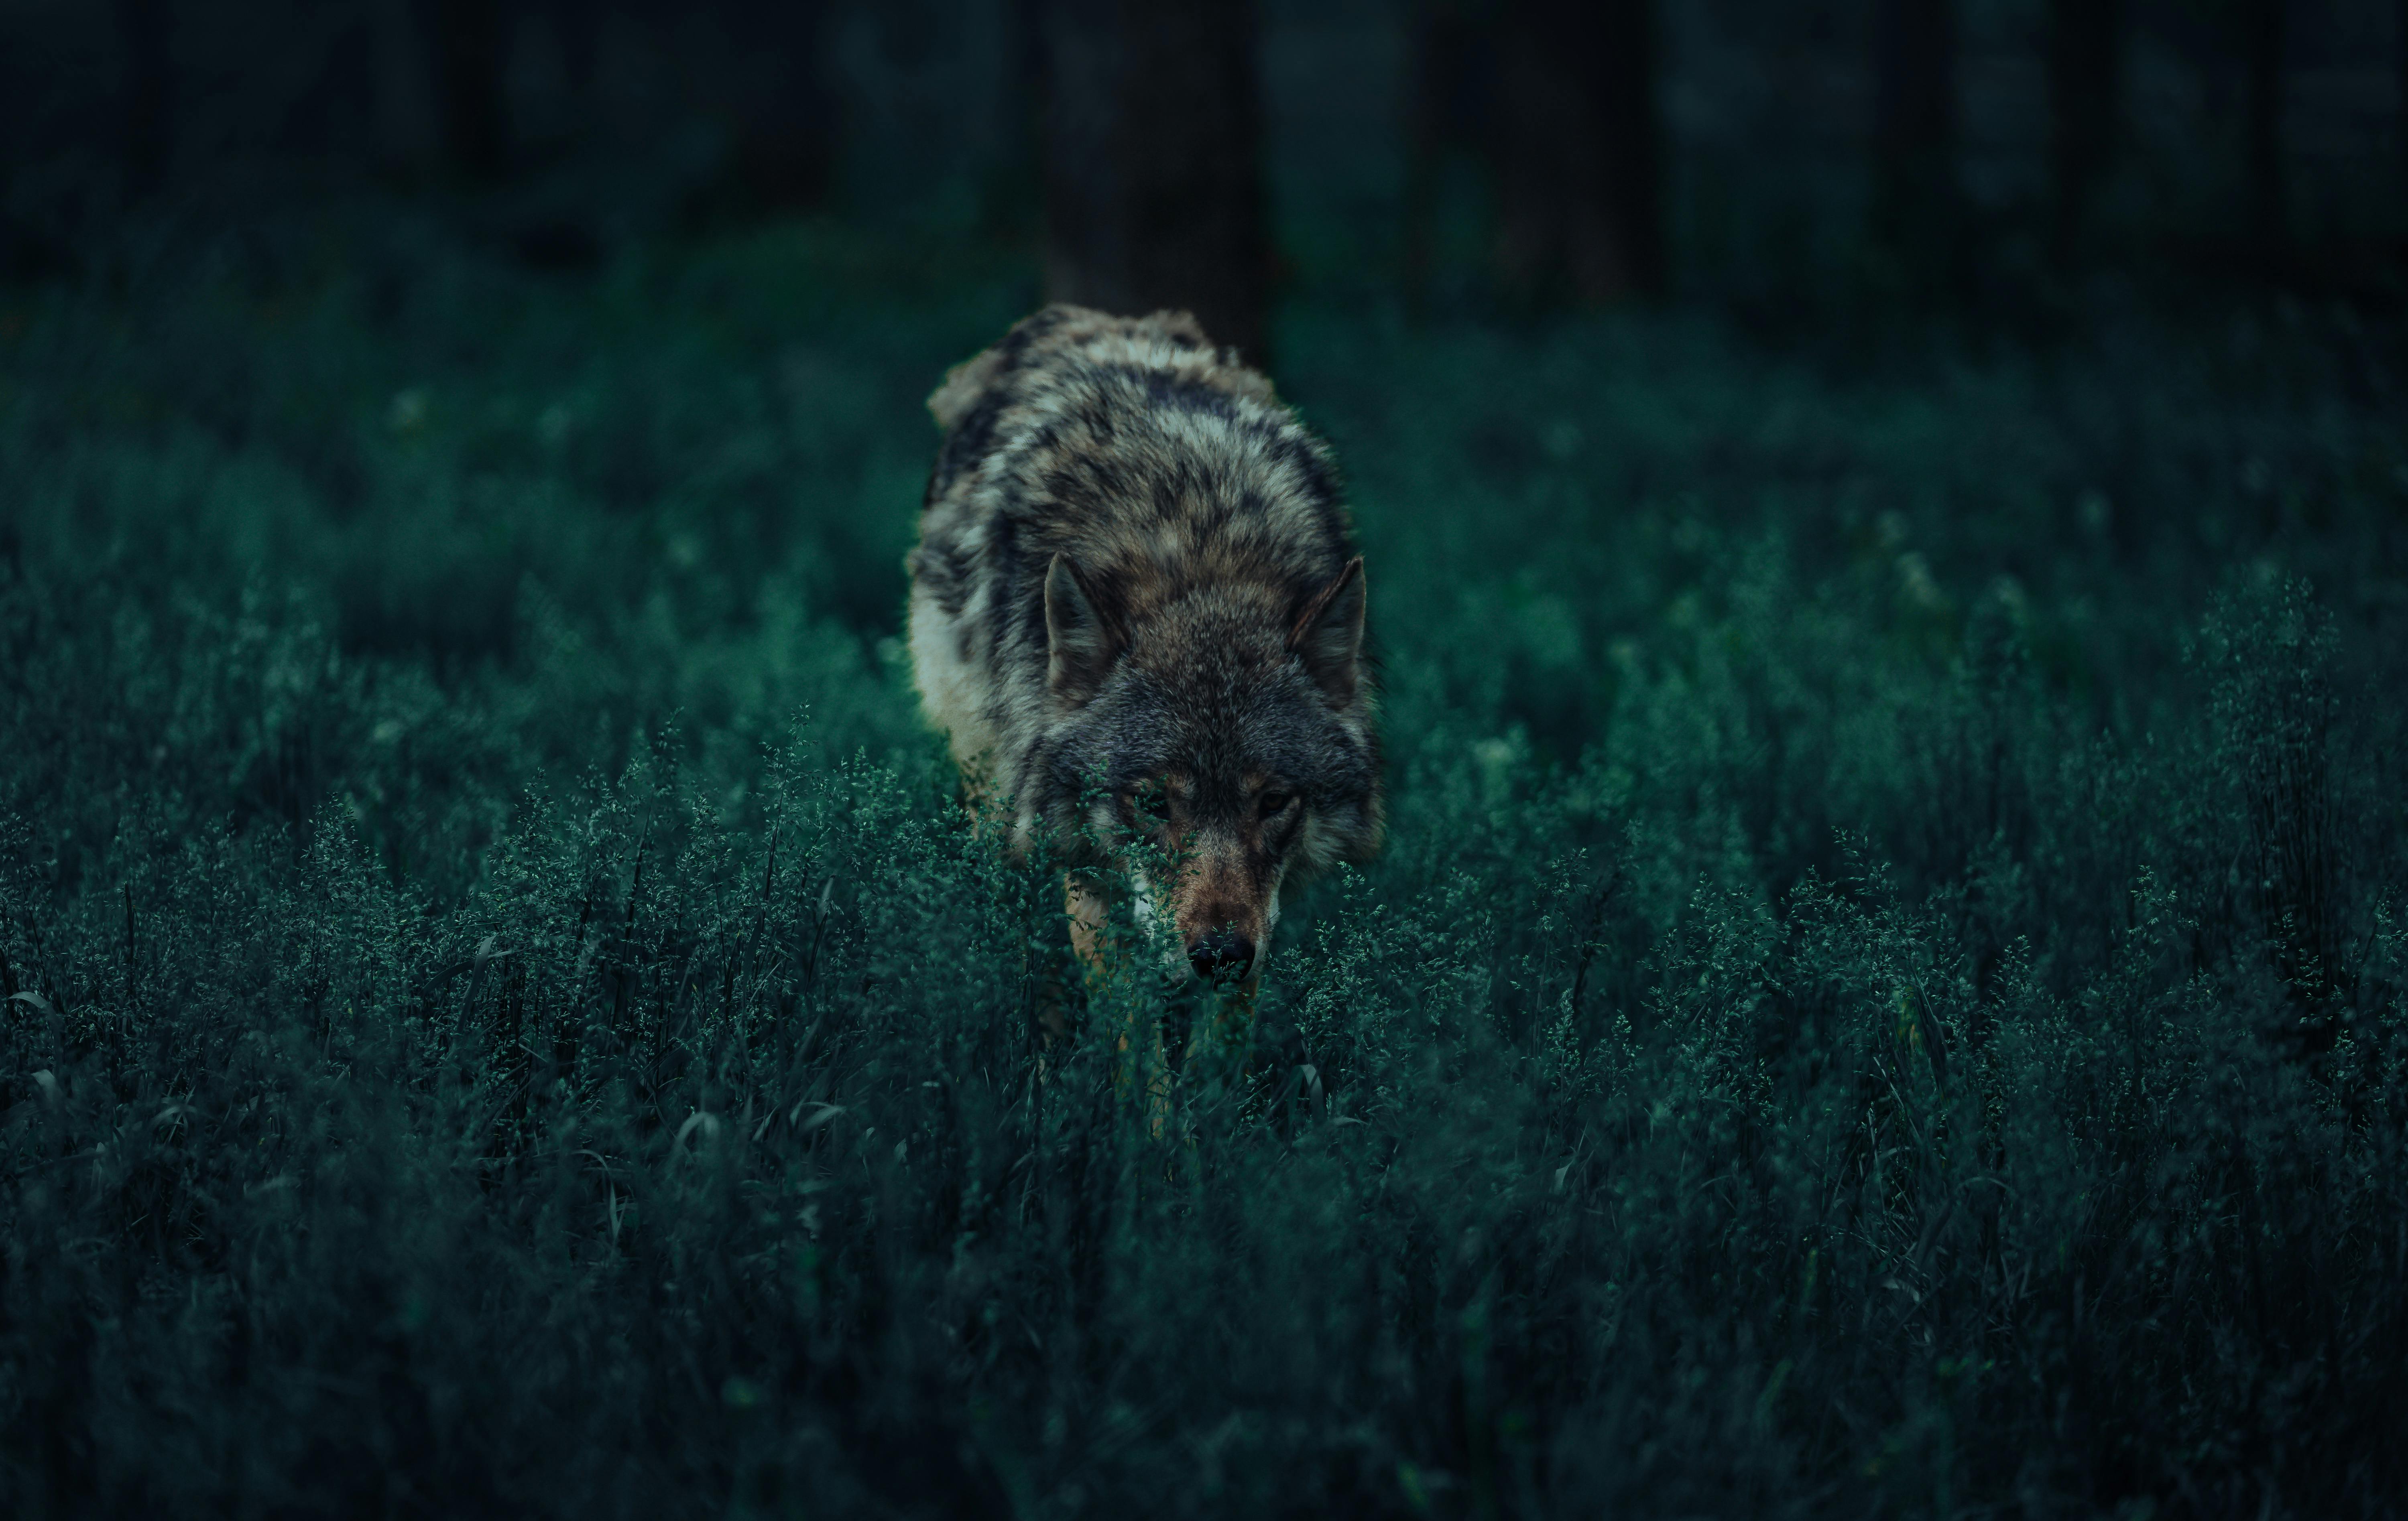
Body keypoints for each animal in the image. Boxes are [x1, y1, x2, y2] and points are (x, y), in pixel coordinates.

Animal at [907, 304, 1382, 994]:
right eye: (1155, 802)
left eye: (1272, 802)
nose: (1219, 955)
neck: (1199, 553)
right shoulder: (1089, 875)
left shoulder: (1261, 924)